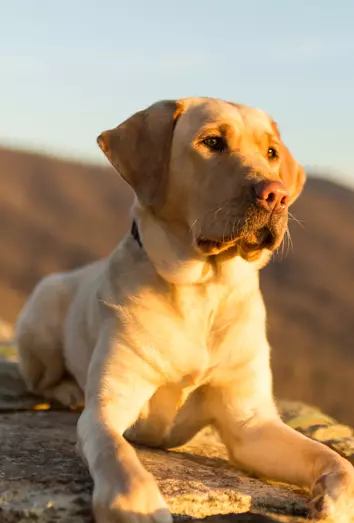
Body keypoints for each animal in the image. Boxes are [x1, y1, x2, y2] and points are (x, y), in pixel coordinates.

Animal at [15, 97, 354, 520]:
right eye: (212, 142)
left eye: (272, 153)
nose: (276, 194)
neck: (204, 290)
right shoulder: (106, 410)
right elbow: (118, 456)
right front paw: (139, 505)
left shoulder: (251, 422)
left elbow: (336, 460)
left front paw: (334, 500)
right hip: (41, 315)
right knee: (40, 381)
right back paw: (67, 390)